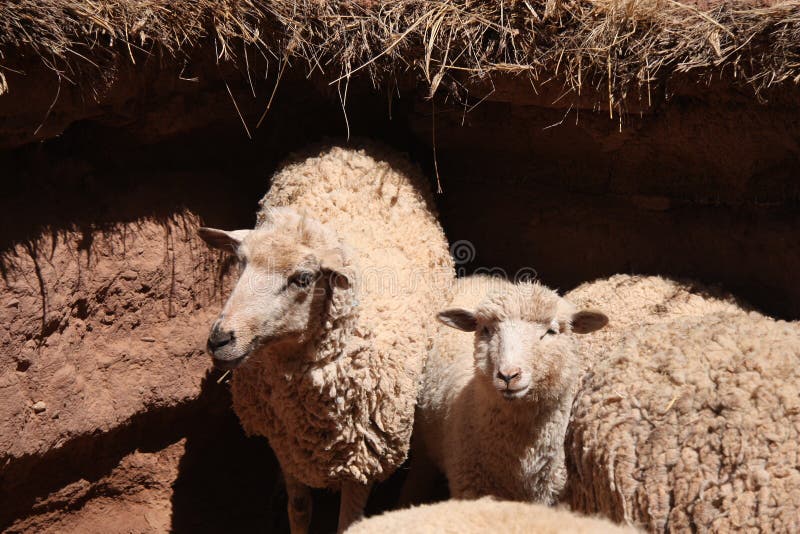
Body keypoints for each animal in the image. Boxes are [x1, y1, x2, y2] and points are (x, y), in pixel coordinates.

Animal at [197, 143, 454, 533]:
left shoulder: (364, 460)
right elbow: (300, 508)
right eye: (240, 263)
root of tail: (353, 145)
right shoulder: (286, 443)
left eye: (303, 278)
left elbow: (349, 523)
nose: (220, 340)